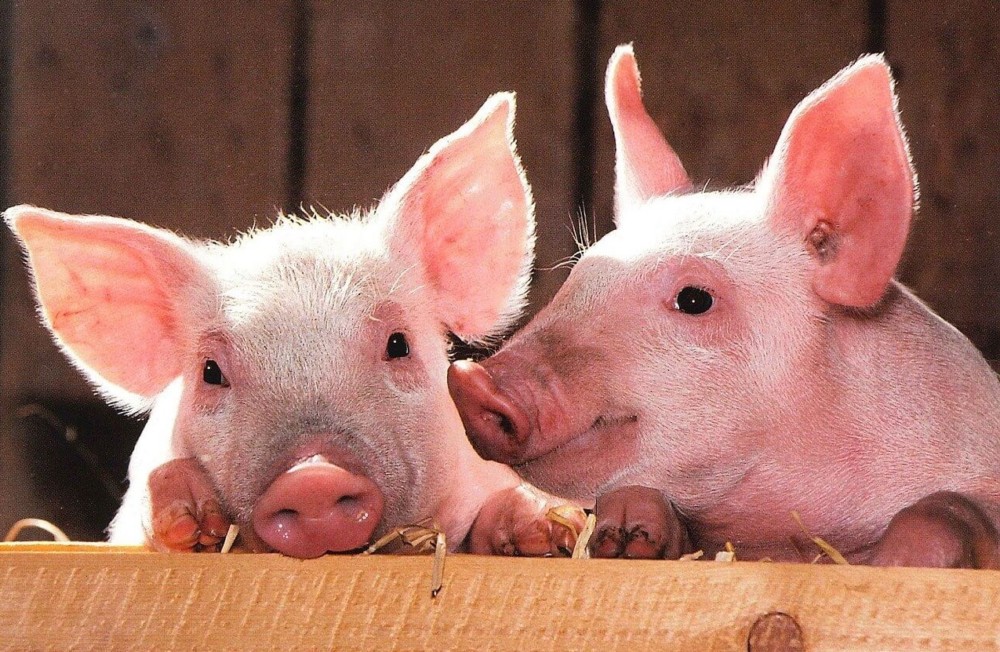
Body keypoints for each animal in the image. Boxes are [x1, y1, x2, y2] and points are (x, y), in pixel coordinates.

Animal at [448, 46, 1000, 568]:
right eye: (579, 277)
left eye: (695, 299)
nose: (471, 380)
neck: (789, 534)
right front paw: (620, 532)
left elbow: (948, 508)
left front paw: (896, 562)